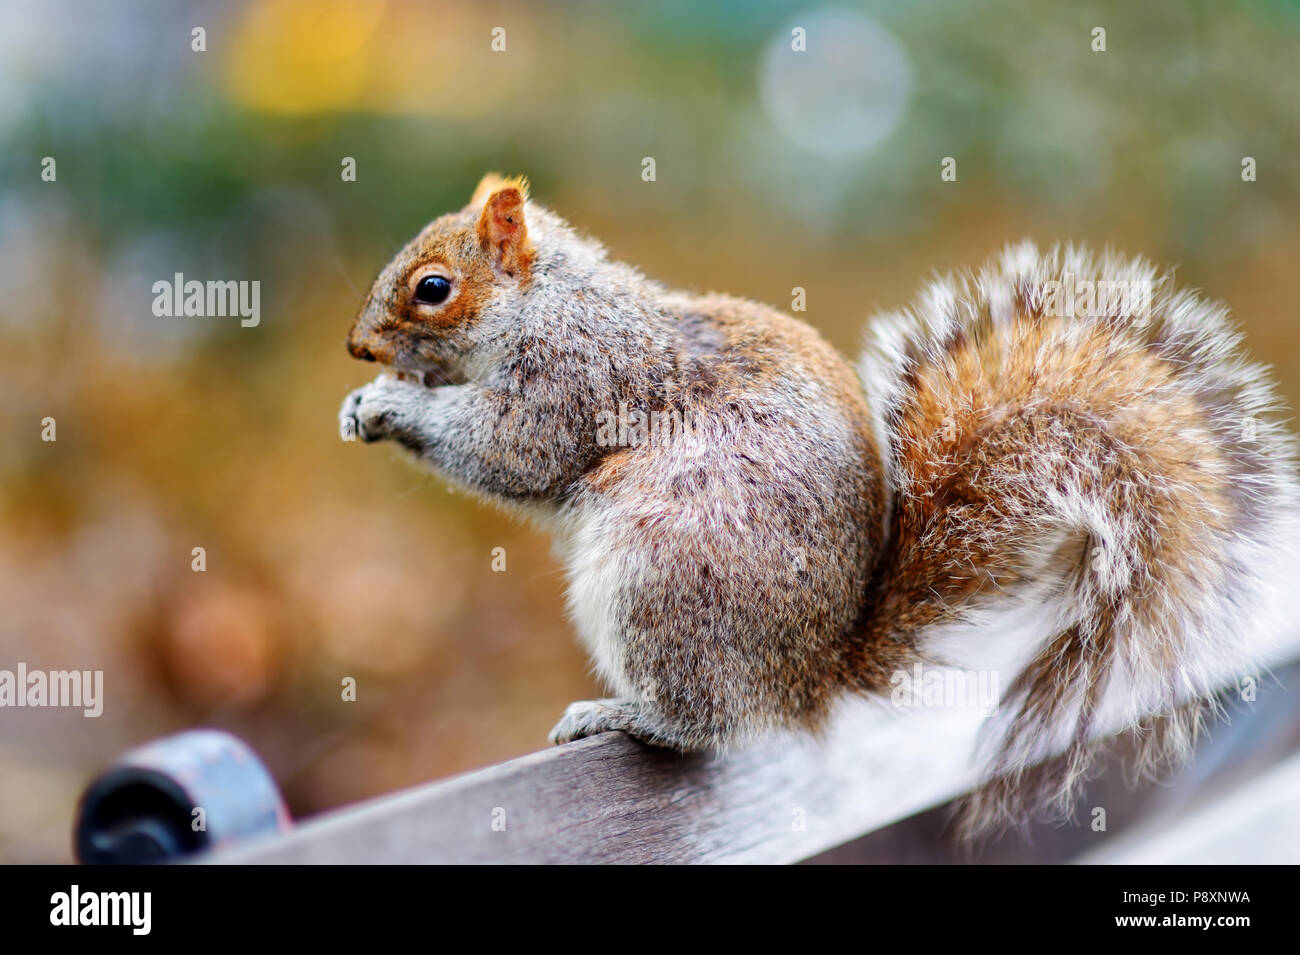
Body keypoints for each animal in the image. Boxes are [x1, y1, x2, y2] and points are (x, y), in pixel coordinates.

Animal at [339, 173, 1299, 834]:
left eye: (432, 287)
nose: (357, 347)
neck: (544, 303)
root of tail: (808, 677)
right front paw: (365, 402)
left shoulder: (573, 381)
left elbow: (511, 451)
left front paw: (392, 407)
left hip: (662, 573)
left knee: (702, 723)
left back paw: (622, 712)